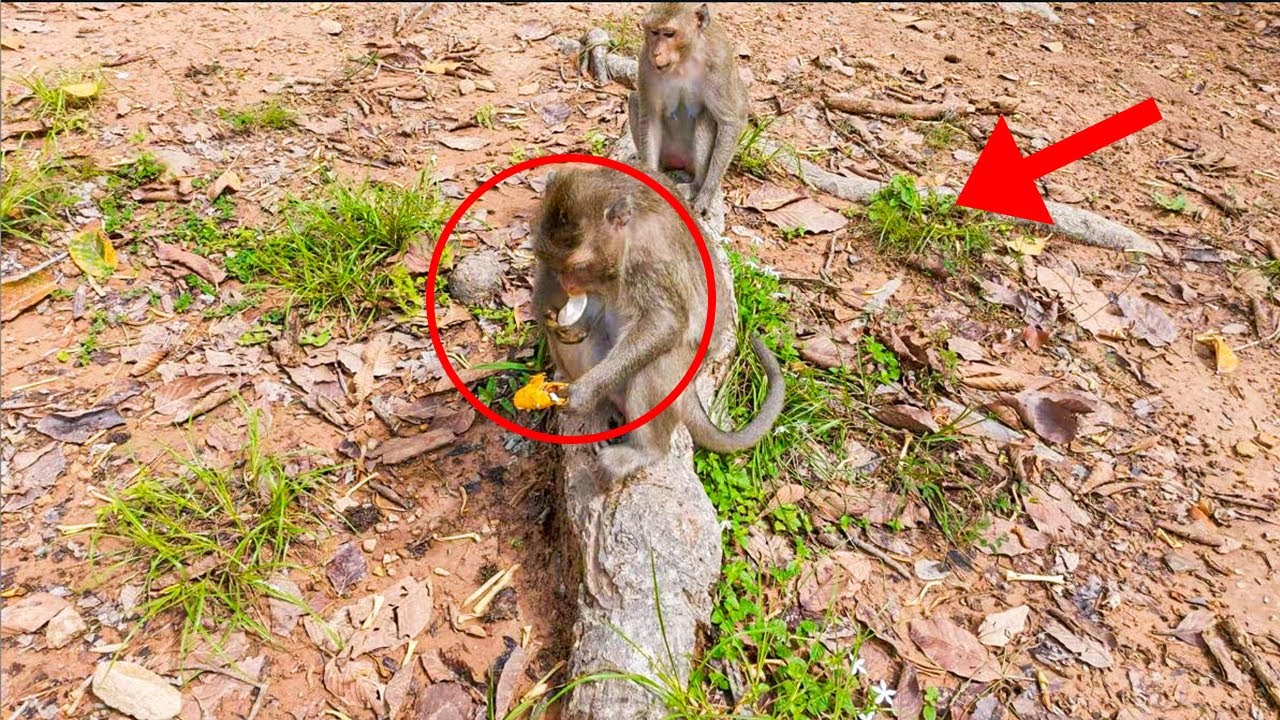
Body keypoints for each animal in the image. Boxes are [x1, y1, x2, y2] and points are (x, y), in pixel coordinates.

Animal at [531, 165, 784, 482]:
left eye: (578, 267)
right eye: (550, 261)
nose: (568, 285)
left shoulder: (651, 254)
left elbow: (665, 322)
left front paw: (584, 392)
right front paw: (545, 312)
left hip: (682, 371)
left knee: (656, 364)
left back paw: (644, 451)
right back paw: (599, 412)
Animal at [628, 2, 748, 219]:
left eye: (669, 34)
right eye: (654, 32)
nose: (656, 53)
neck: (683, 58)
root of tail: (680, 163)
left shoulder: (719, 62)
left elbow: (730, 121)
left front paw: (705, 196)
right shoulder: (645, 63)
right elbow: (650, 116)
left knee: (706, 117)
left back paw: (696, 186)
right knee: (634, 100)